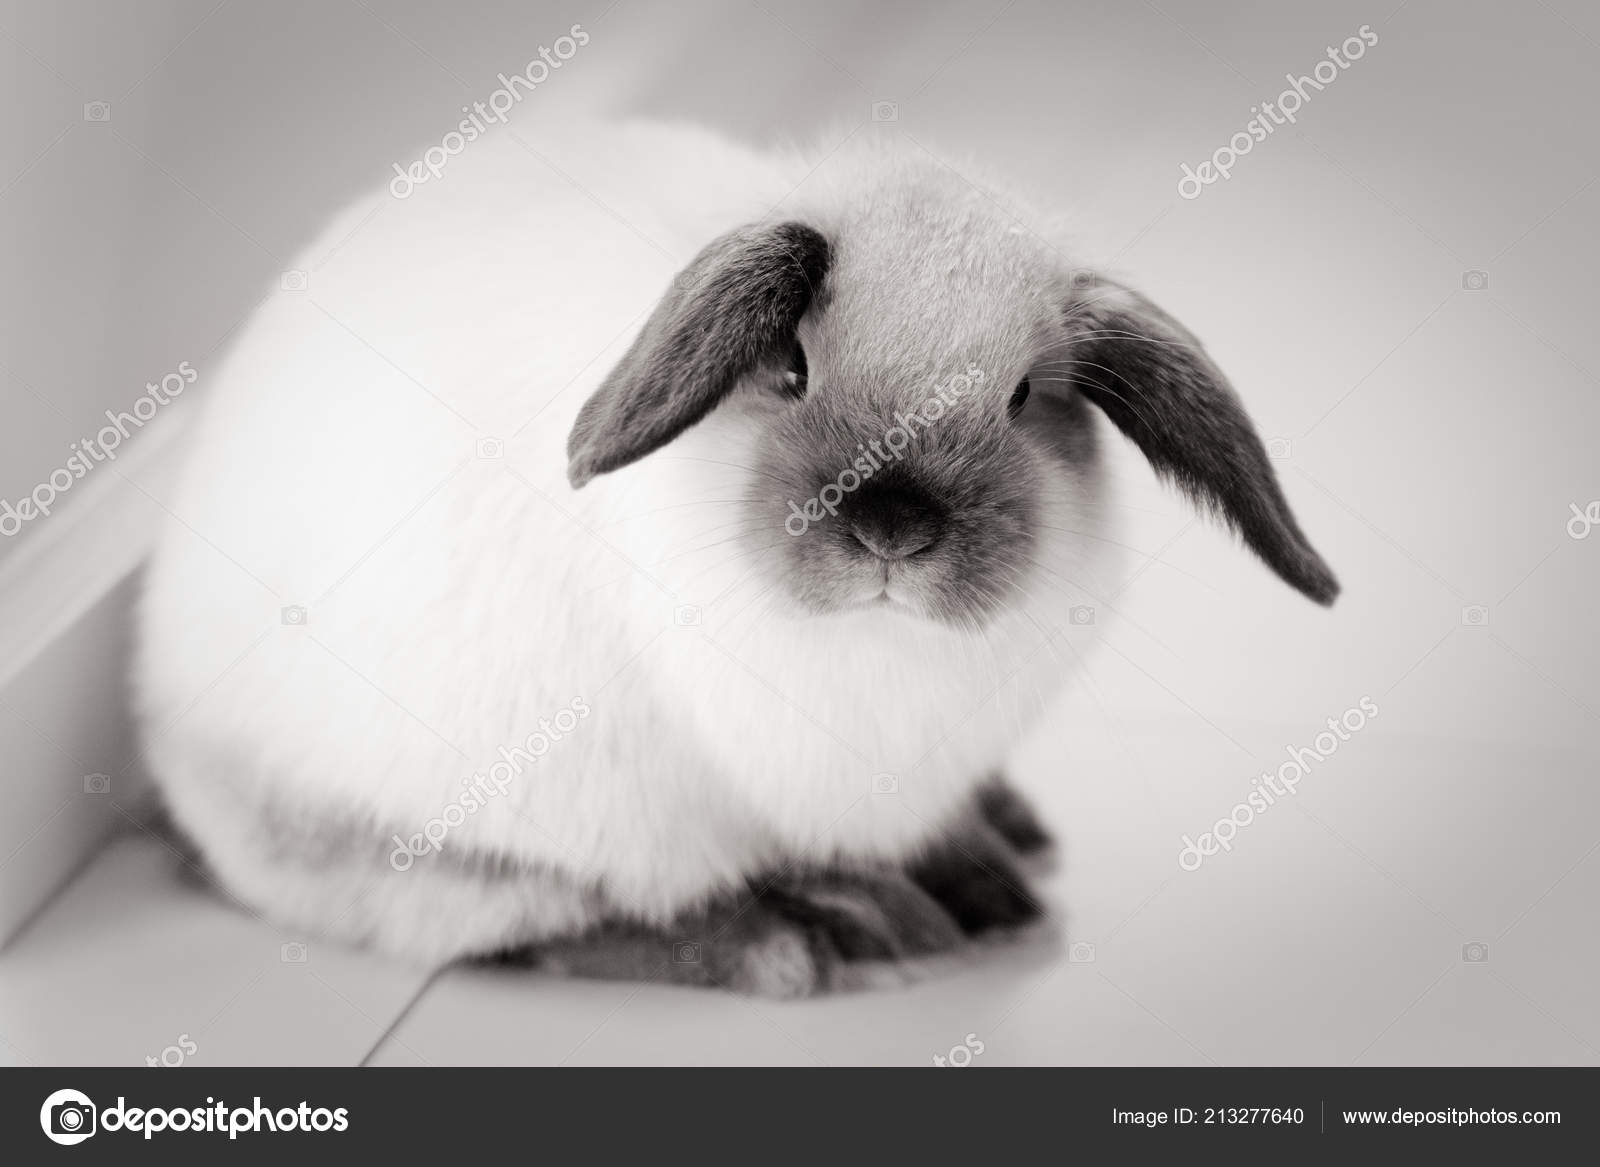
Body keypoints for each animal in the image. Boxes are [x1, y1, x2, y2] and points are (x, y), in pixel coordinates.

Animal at [133, 120, 1337, 998]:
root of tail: (172, 755)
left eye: (1025, 397)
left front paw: (969, 864)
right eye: (791, 367)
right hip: (460, 844)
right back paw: (831, 936)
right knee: (535, 927)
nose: (891, 526)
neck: (875, 646)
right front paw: (886, 906)